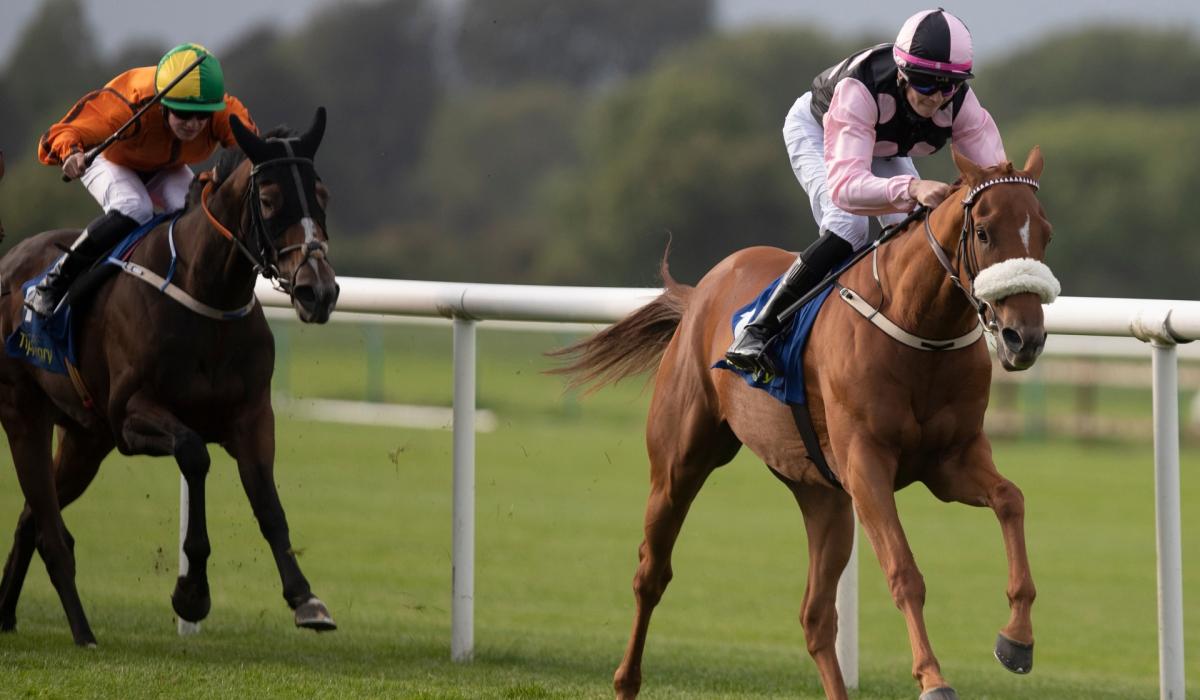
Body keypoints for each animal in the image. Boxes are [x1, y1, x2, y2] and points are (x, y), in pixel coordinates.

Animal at [0, 108, 340, 646]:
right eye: (268, 200)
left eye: (322, 196)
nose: (317, 291)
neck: (204, 292)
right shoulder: (132, 416)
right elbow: (194, 454)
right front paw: (191, 592)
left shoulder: (253, 417)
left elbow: (268, 504)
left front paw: (305, 598)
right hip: (24, 415)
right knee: (47, 524)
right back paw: (79, 629)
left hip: (84, 440)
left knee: (31, 517)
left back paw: (7, 613)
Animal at [551, 147, 1057, 700]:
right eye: (983, 232)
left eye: (1045, 232)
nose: (1024, 338)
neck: (920, 327)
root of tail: (701, 291)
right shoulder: (866, 464)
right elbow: (904, 571)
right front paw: (933, 679)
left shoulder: (951, 460)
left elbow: (1011, 499)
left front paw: (1017, 640)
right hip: (677, 464)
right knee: (651, 573)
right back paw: (626, 680)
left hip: (822, 494)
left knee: (815, 618)